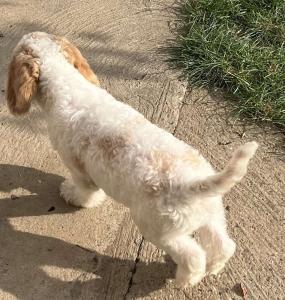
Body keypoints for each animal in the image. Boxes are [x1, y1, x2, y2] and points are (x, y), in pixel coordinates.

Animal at [6, 31, 258, 288]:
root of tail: (194, 184)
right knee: (224, 245)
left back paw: (185, 280)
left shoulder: (78, 169)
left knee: (193, 256)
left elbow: (85, 190)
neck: (66, 83)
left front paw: (74, 196)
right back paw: (214, 268)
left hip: (158, 229)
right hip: (213, 217)